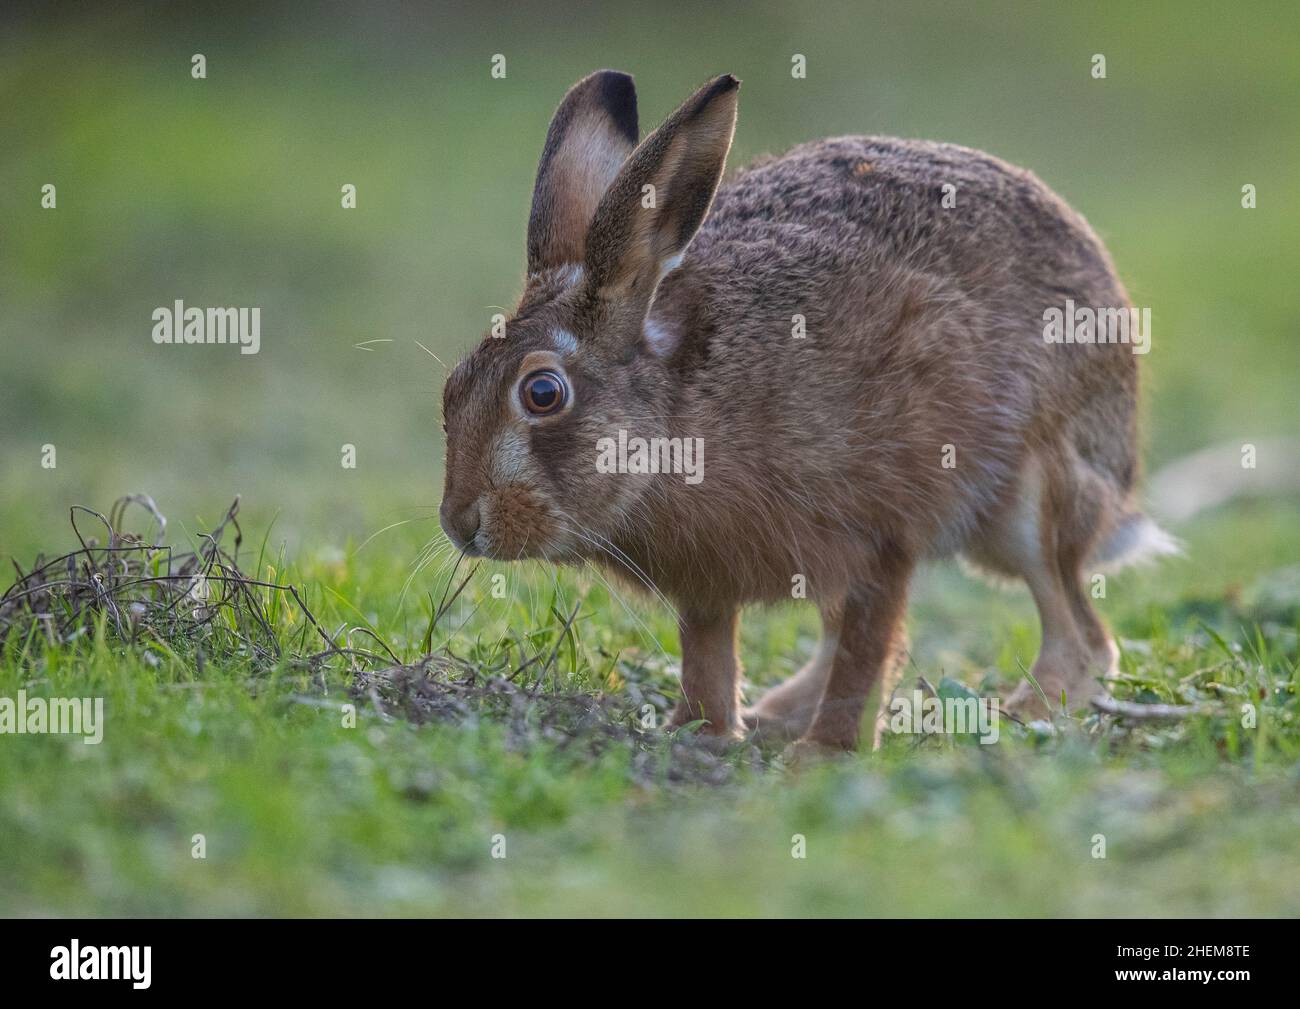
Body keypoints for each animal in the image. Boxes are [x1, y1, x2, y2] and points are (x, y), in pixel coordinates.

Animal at [439, 69, 1176, 752]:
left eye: (543, 394)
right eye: (451, 388)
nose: (460, 523)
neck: (677, 418)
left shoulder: (883, 529)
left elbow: (867, 647)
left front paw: (824, 756)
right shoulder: (710, 578)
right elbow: (709, 648)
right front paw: (702, 732)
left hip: (1029, 498)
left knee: (1077, 628)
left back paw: (1012, 714)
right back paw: (776, 714)